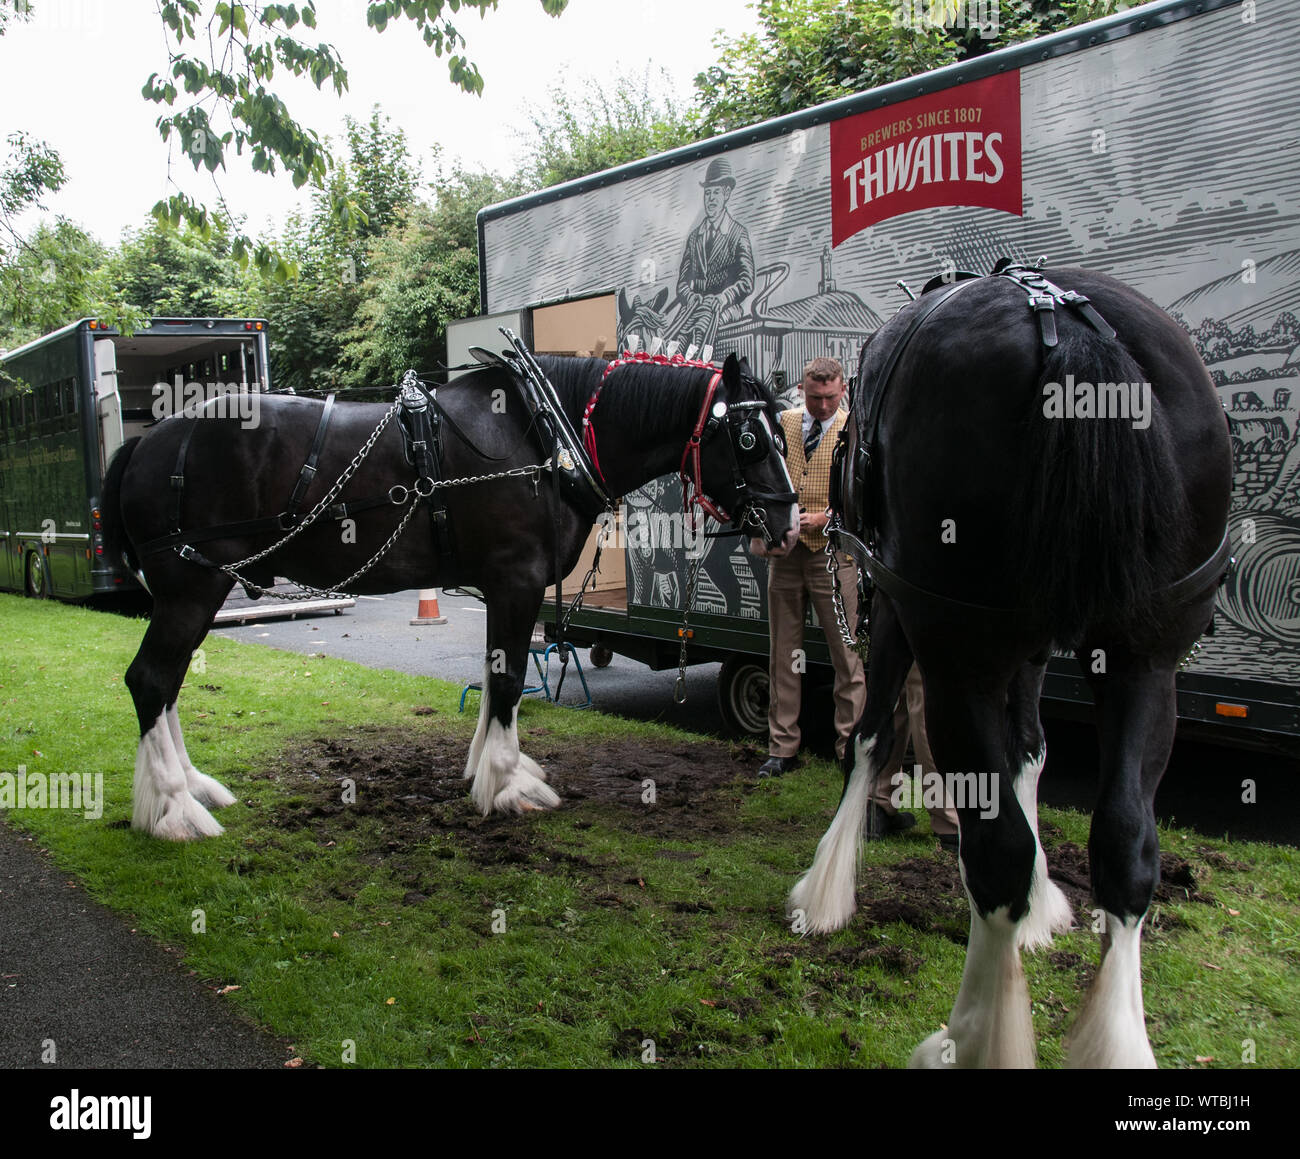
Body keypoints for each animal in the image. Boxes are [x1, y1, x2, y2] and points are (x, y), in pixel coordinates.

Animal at [101, 352, 799, 841]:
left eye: (785, 434)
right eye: (748, 440)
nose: (789, 523)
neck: (543, 438)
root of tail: (145, 441)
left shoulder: (499, 586)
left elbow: (493, 677)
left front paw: (488, 769)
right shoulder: (517, 579)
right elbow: (511, 679)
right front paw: (507, 787)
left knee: (168, 684)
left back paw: (193, 788)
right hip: (193, 587)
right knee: (150, 680)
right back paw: (174, 811)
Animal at [782, 266, 1232, 1068]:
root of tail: (1064, 320)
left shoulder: (901, 607)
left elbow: (870, 736)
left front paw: (826, 889)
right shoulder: (1029, 643)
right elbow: (1029, 747)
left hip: (953, 649)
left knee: (1000, 852)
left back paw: (973, 1034)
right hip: (1148, 657)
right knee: (1126, 843)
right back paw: (1114, 1033)